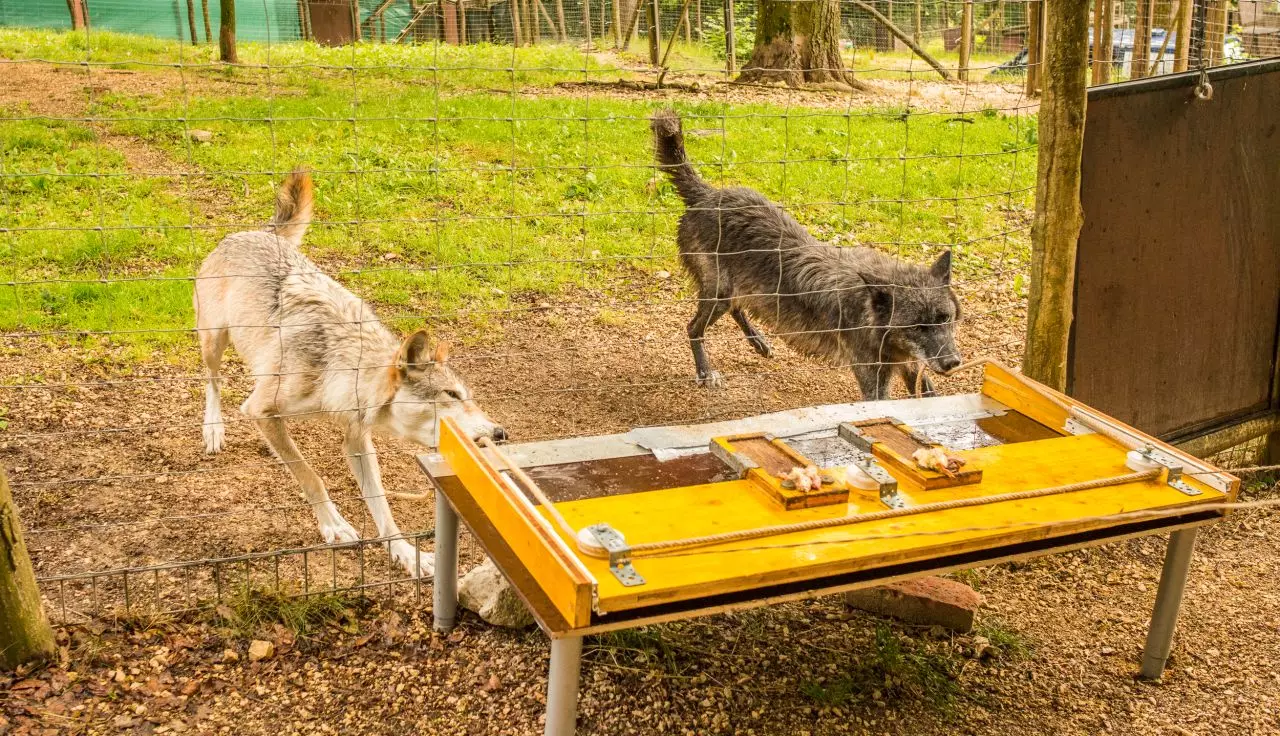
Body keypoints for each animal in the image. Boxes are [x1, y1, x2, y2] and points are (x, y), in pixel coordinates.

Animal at [194, 170, 504, 578]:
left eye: (465, 395)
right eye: (452, 395)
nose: (500, 433)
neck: (342, 366)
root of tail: (256, 233)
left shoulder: (357, 437)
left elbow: (380, 503)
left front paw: (406, 554)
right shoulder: (261, 410)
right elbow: (310, 475)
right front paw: (333, 525)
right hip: (214, 341)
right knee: (212, 381)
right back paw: (213, 429)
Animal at [650, 110, 962, 399]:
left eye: (944, 318)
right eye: (917, 326)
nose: (952, 363)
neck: (868, 311)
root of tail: (707, 194)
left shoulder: (912, 365)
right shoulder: (873, 378)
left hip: (731, 293)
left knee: (738, 308)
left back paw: (759, 342)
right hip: (719, 295)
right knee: (693, 328)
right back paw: (706, 372)